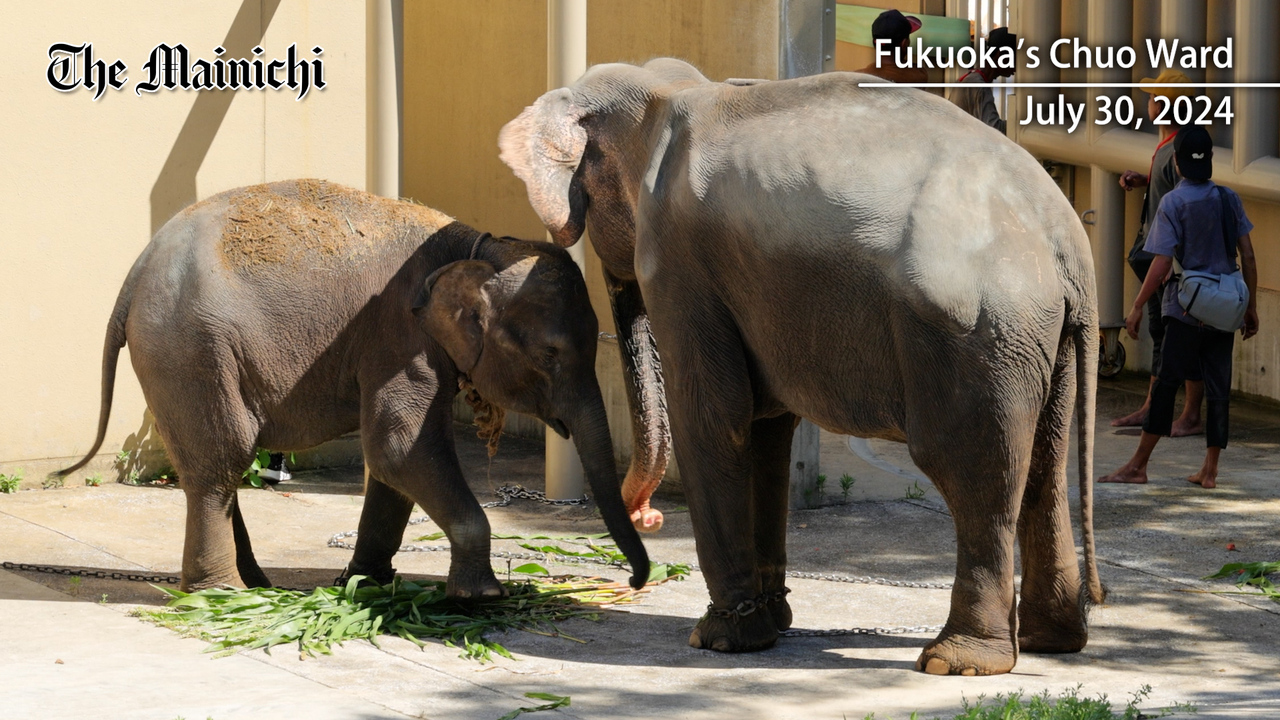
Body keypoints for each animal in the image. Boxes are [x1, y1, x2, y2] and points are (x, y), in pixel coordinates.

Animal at [58, 179, 649, 596]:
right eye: (551, 355)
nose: (633, 581)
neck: (482, 247)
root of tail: (133, 277)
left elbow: (394, 463)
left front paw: (363, 583)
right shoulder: (399, 336)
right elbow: (398, 447)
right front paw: (482, 597)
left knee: (218, 465)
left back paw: (257, 586)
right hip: (193, 351)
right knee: (220, 462)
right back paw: (221, 595)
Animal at [499, 59, 1104, 675]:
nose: (648, 519)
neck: (664, 90)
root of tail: (1066, 238)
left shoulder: (677, 259)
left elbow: (716, 418)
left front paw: (721, 639)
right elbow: (765, 427)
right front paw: (771, 623)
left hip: (979, 332)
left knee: (972, 469)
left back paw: (956, 661)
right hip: (1036, 337)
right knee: (1045, 465)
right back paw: (1049, 641)